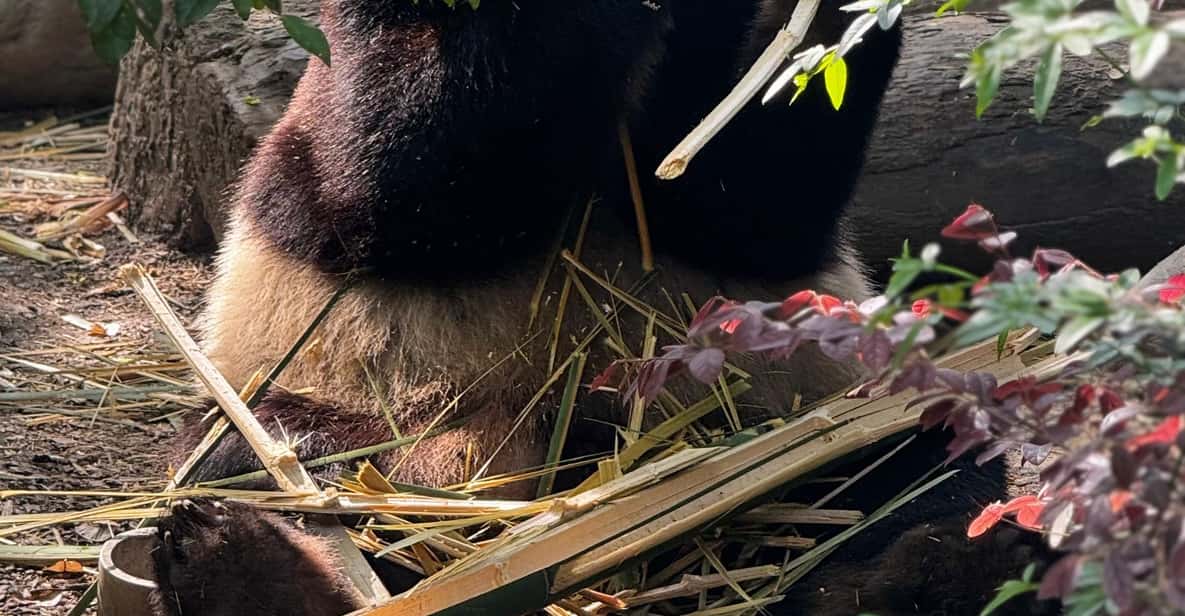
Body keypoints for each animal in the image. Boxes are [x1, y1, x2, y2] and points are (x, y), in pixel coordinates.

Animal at [149, 0, 1054, 615]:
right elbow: (386, 173)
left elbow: (742, 202)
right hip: (351, 421)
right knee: (276, 463)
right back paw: (239, 560)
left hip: (806, 409)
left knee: (910, 459)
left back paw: (943, 565)